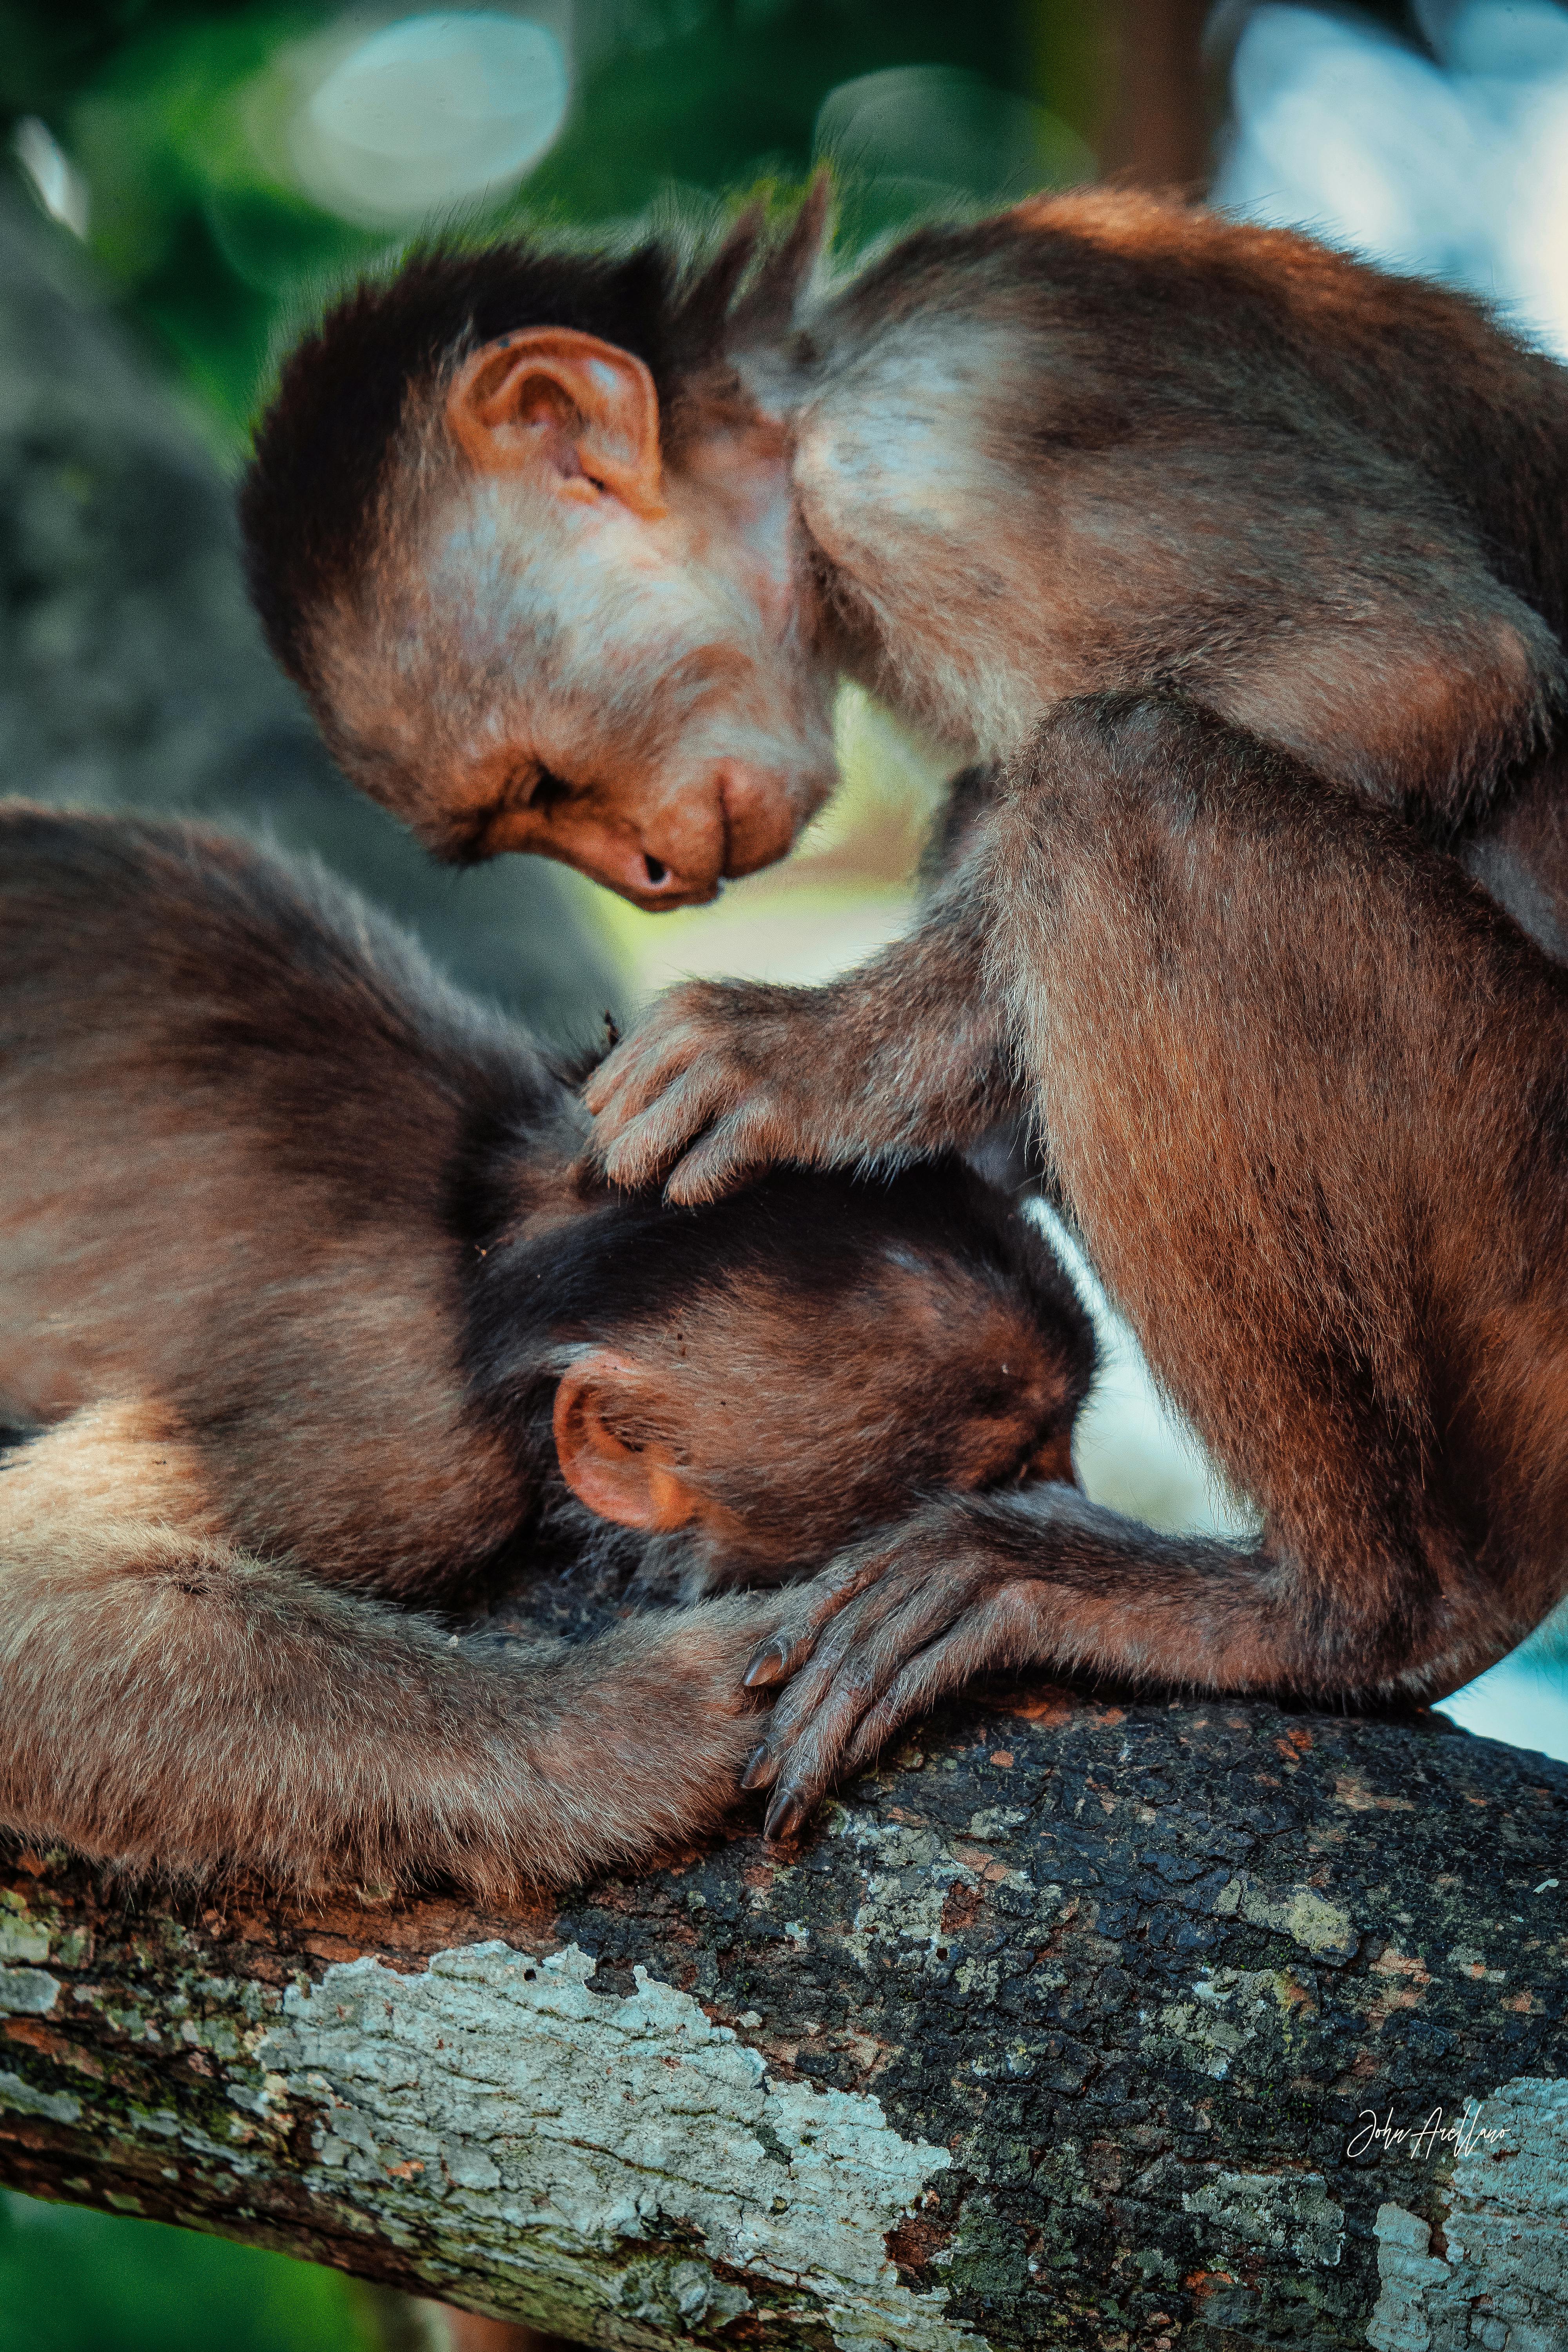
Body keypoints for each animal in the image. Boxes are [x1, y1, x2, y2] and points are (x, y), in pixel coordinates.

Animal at [0, 803, 1092, 1895]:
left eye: (1066, 1454)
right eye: (1013, 1474)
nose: (1071, 1519)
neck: (494, 1231)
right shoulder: (405, 1448)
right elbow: (36, 1594)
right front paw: (649, 1719)